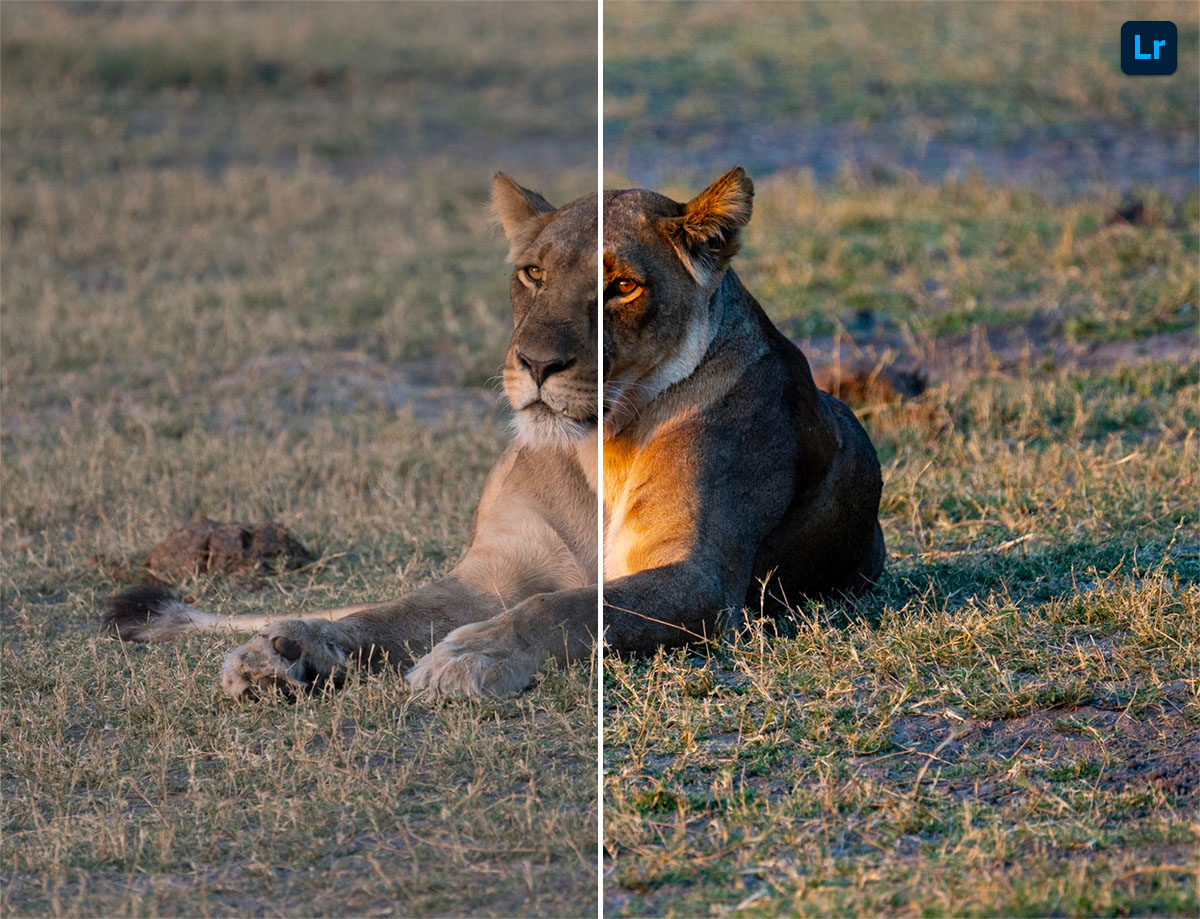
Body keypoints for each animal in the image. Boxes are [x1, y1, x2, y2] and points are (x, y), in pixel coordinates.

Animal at [105, 174, 599, 700]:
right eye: (533, 274)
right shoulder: (493, 577)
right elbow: (389, 615)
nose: (539, 363)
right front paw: (283, 654)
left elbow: (566, 608)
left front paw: (473, 659)